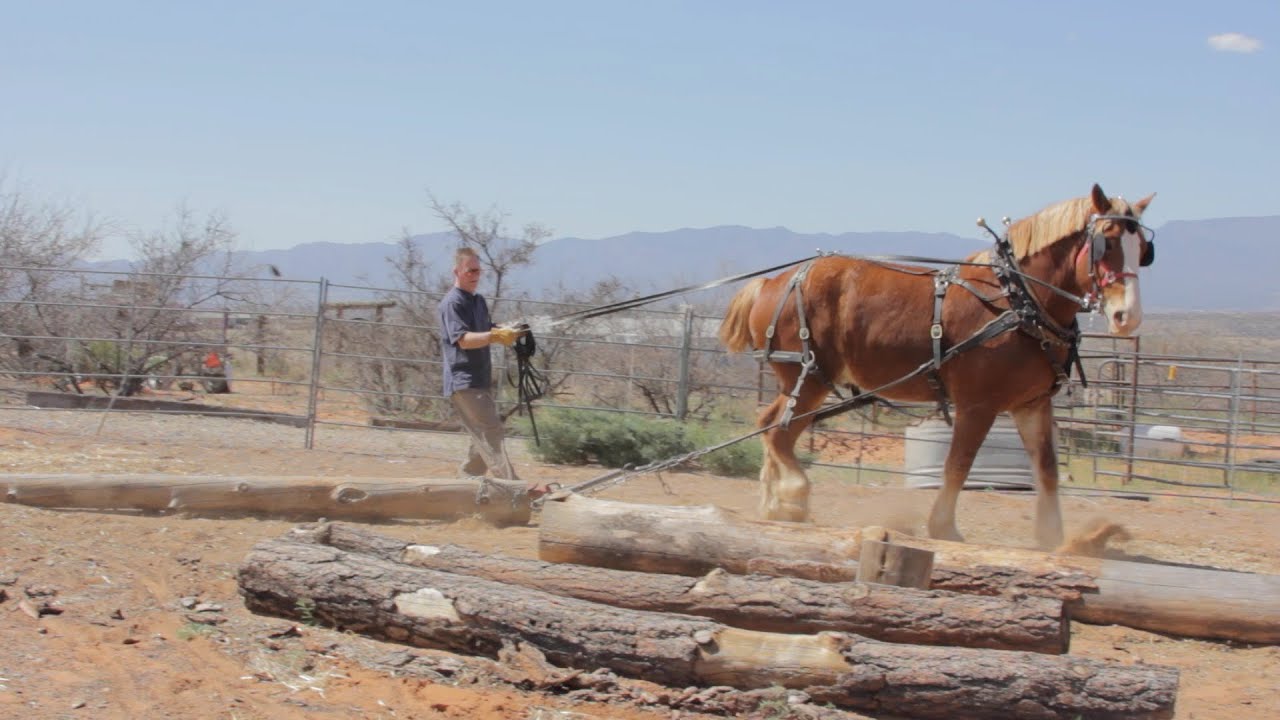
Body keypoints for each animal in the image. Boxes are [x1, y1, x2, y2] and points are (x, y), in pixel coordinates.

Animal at [719, 184, 1156, 549]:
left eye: (1143, 251)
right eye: (1107, 242)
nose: (1128, 317)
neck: (1018, 299)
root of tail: (773, 283)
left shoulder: (1030, 404)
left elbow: (1046, 468)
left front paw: (1054, 538)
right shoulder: (978, 404)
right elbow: (958, 464)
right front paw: (944, 528)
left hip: (803, 383)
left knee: (773, 426)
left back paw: (773, 504)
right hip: (809, 377)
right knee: (777, 433)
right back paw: (792, 497)